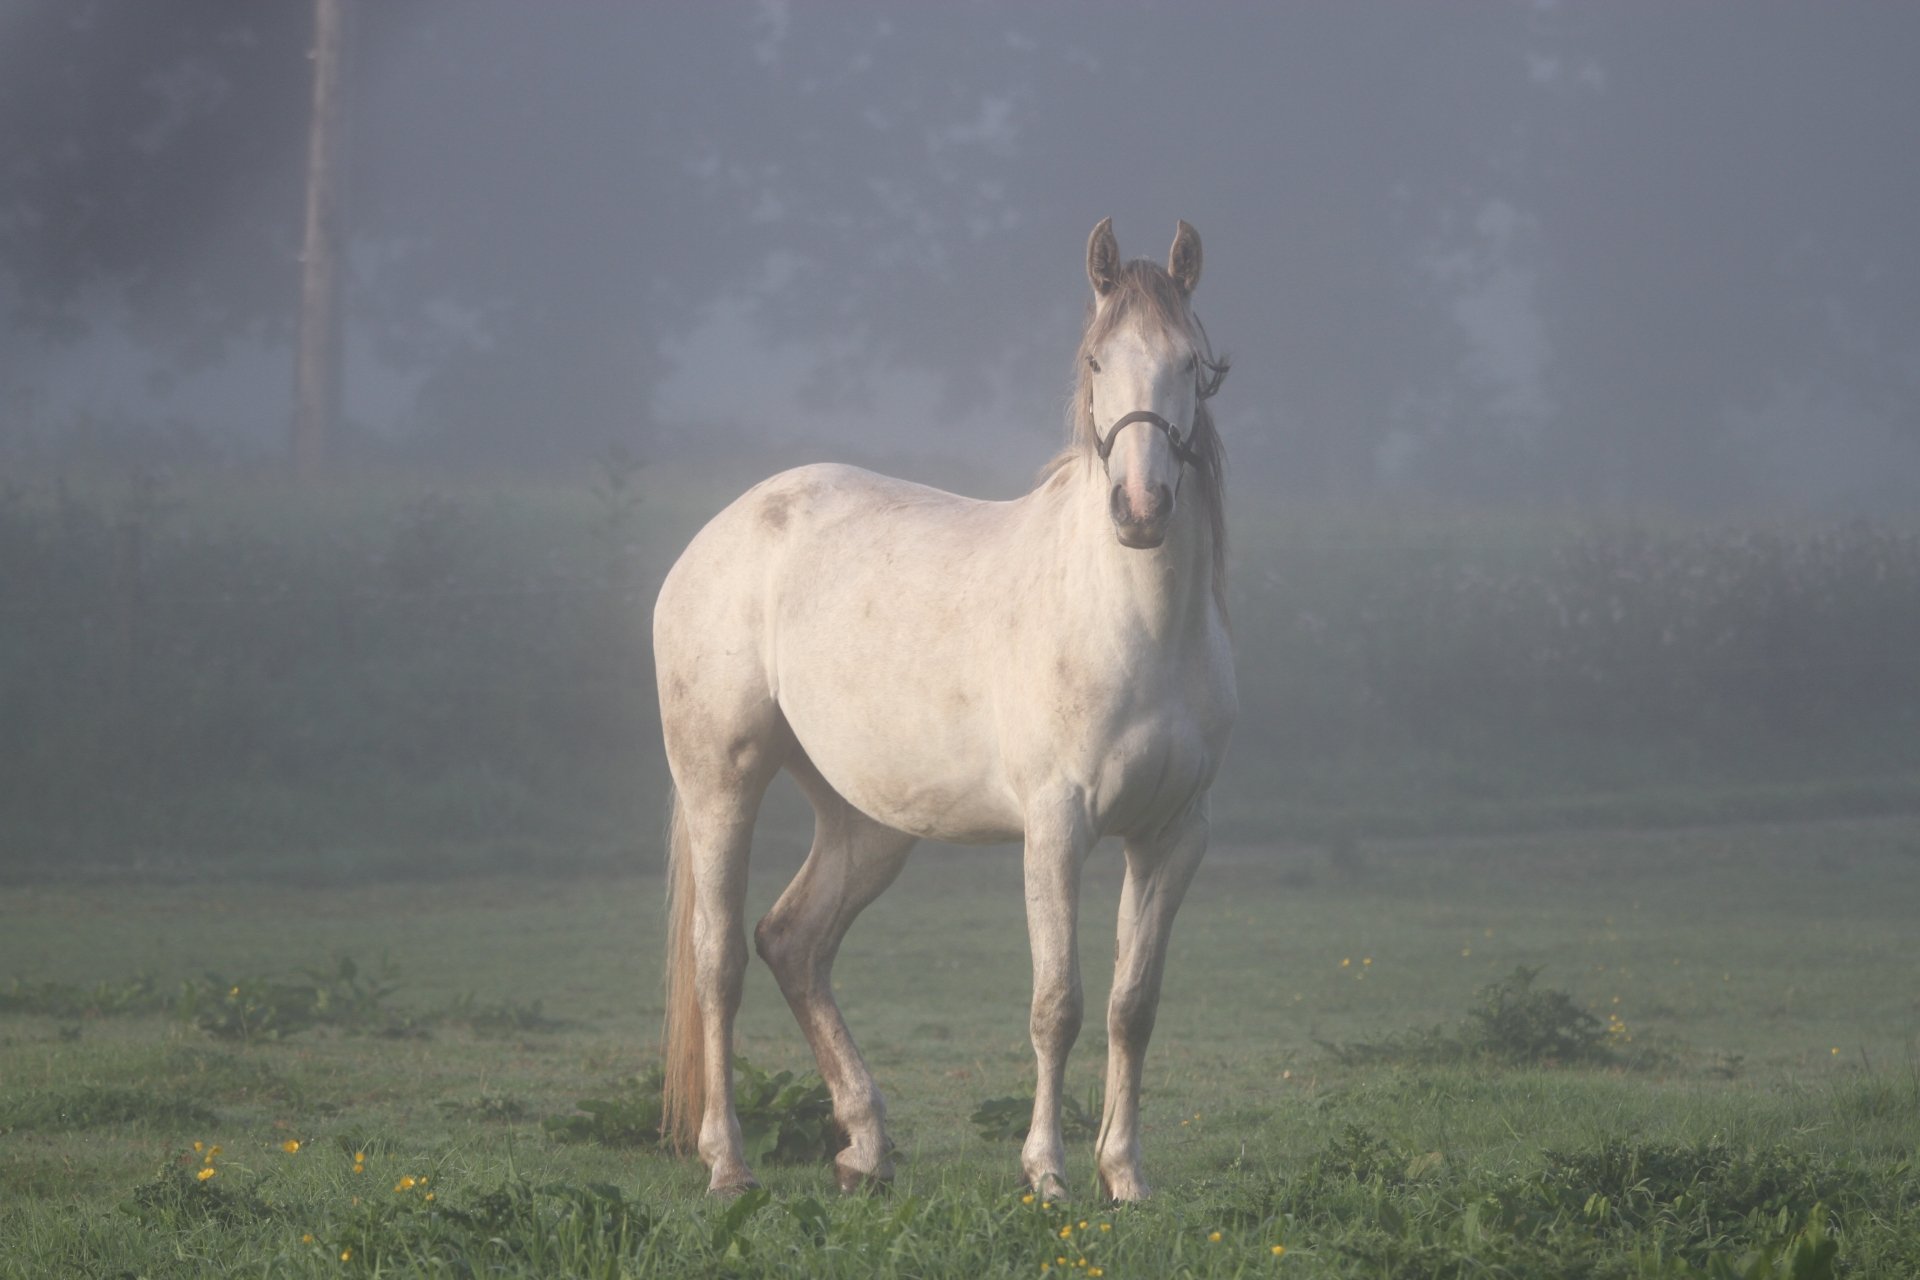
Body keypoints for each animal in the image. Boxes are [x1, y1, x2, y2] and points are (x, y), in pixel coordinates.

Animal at [653, 218, 1235, 1202]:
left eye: (1191, 363)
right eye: (1095, 360)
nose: (1140, 507)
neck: (1136, 623)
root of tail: (719, 535)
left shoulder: (1173, 835)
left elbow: (1133, 1005)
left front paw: (1126, 1176)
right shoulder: (1057, 829)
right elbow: (1058, 1004)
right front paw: (1048, 1173)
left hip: (867, 821)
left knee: (793, 941)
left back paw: (866, 1146)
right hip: (719, 781)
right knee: (721, 961)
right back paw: (728, 1164)